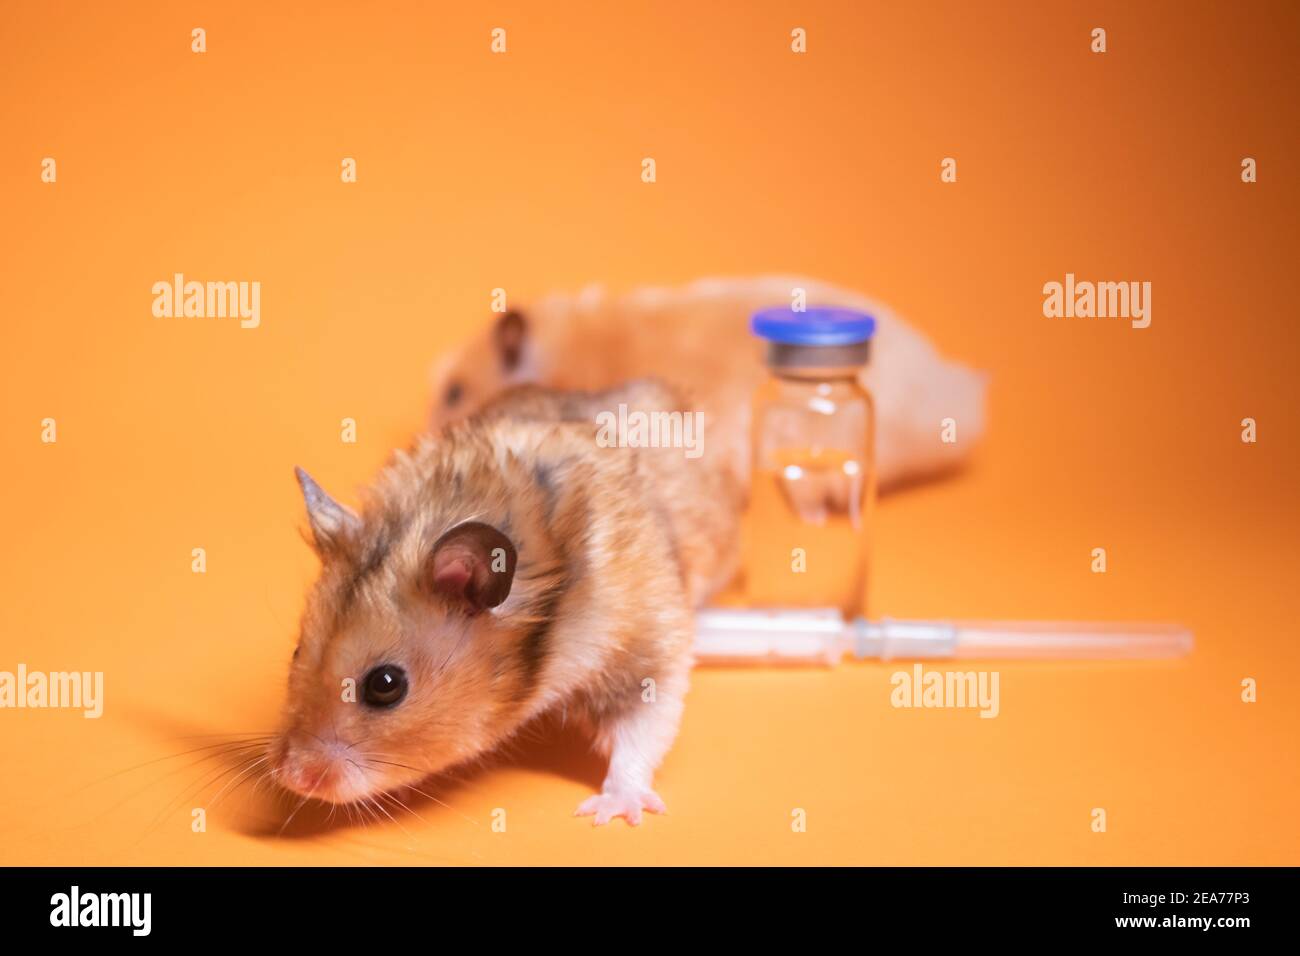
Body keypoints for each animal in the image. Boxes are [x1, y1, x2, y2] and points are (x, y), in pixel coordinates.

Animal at [273, 380, 740, 825]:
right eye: (296, 651)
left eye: (385, 685)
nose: (293, 778)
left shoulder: (641, 649)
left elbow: (640, 729)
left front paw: (609, 812)